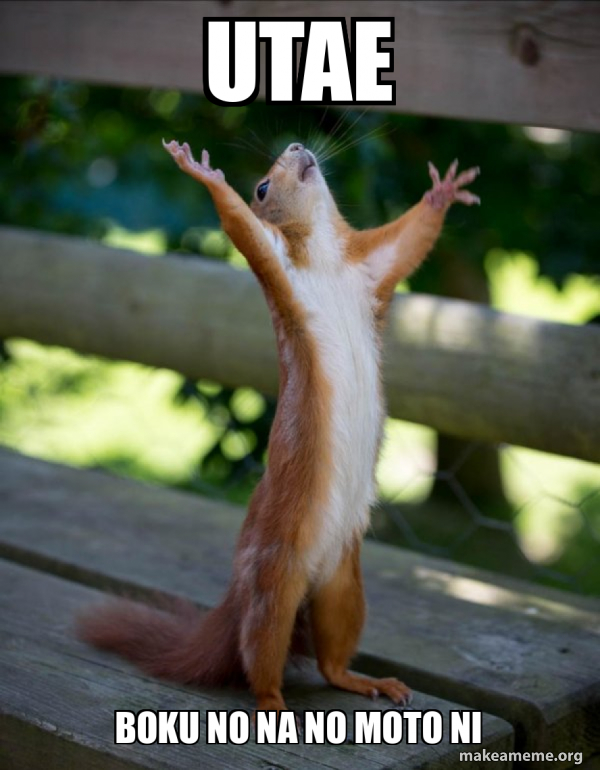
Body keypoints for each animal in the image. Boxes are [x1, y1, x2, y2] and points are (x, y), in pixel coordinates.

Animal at [78, 138, 480, 714]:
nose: (296, 146)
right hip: (274, 583)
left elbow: (410, 240)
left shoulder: (372, 267)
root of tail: (239, 596)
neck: (326, 258)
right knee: (259, 655)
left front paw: (443, 192)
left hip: (344, 586)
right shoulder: (276, 264)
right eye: (262, 187)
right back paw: (274, 702)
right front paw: (204, 174)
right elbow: (240, 225)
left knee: (331, 658)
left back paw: (365, 680)